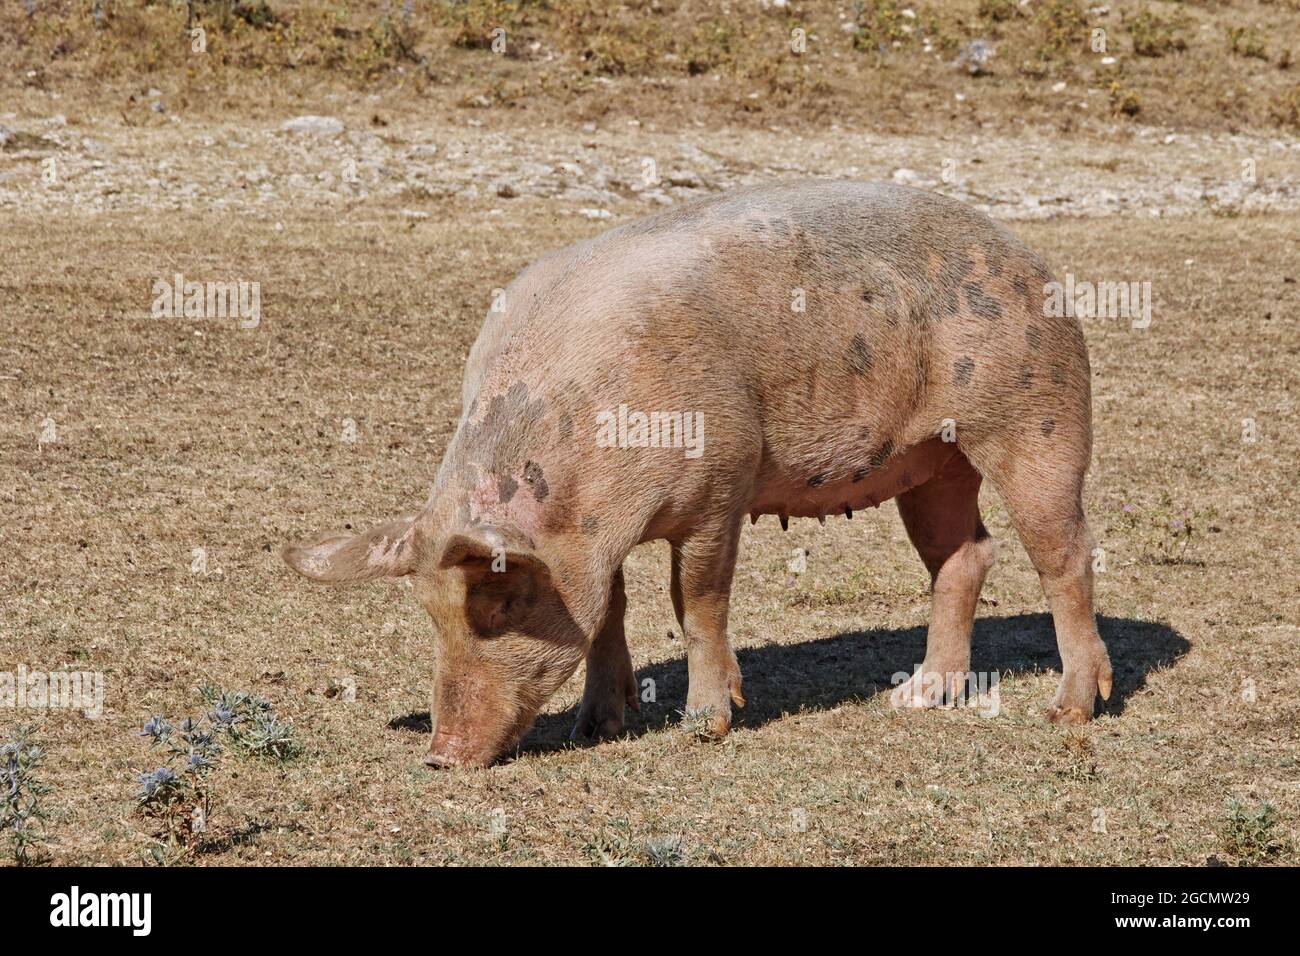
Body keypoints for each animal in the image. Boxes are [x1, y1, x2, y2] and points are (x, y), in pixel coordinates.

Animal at [283, 180, 1113, 767]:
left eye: (502, 602)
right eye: (432, 612)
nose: (439, 757)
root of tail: (1034, 263)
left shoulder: (722, 485)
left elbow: (699, 602)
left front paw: (705, 726)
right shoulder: (596, 543)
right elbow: (609, 611)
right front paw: (595, 727)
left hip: (1038, 416)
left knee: (1065, 553)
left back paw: (1069, 709)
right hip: (932, 462)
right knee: (965, 555)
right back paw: (912, 698)